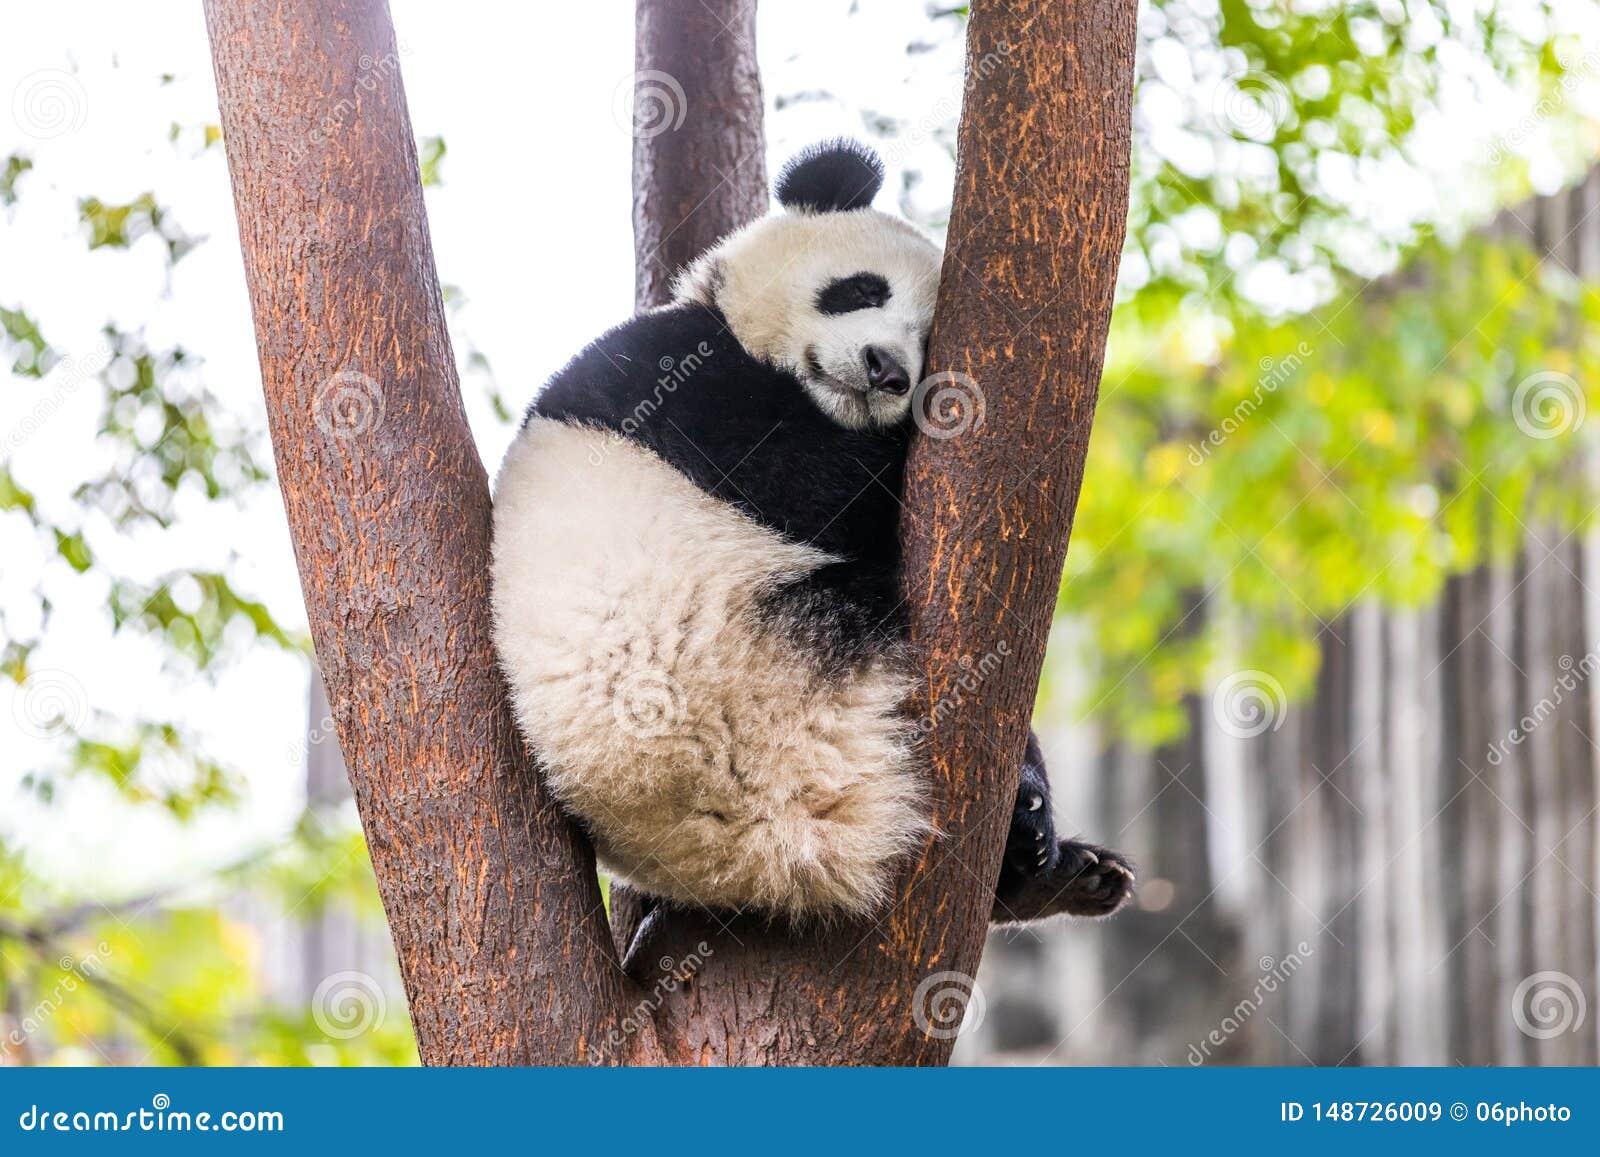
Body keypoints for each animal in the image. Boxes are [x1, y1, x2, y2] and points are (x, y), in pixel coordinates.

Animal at [491, 139, 1133, 928]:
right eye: (861, 290)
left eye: (931, 343)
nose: (886, 370)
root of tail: (774, 853)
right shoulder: (672, 375)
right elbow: (820, 482)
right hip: (764, 670)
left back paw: (1058, 864)